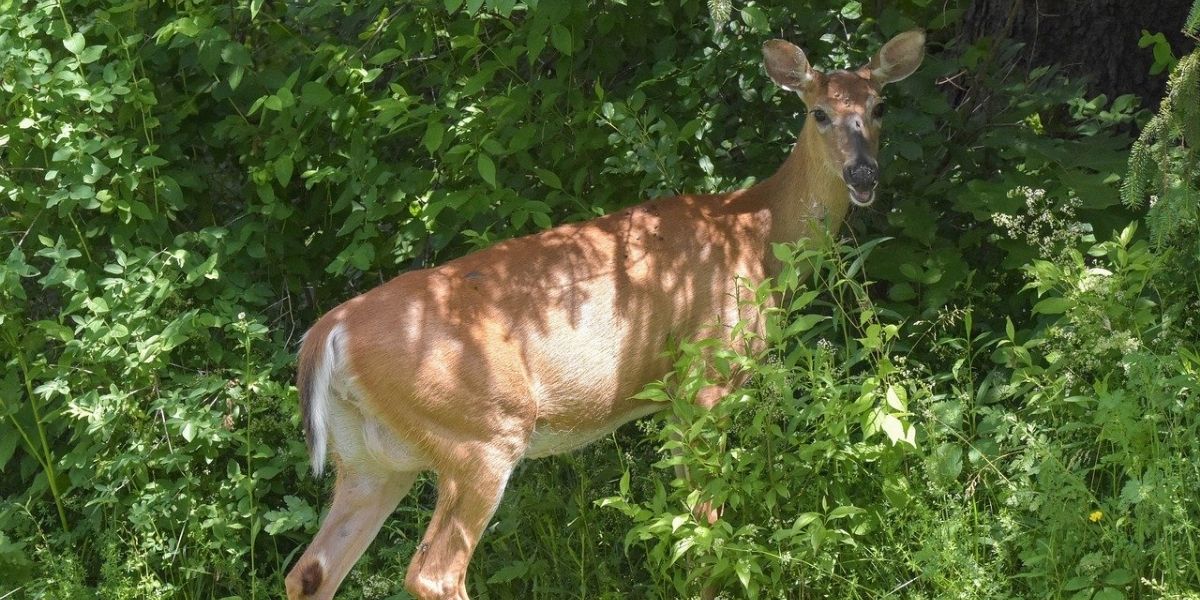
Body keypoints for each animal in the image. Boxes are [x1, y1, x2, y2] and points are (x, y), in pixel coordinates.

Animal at [283, 30, 925, 600]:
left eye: (878, 105)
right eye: (819, 112)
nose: (863, 174)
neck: (756, 230)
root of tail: (328, 333)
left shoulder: (670, 399)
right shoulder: (706, 376)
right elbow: (706, 529)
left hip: (371, 457)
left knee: (310, 571)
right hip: (480, 431)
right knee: (433, 574)